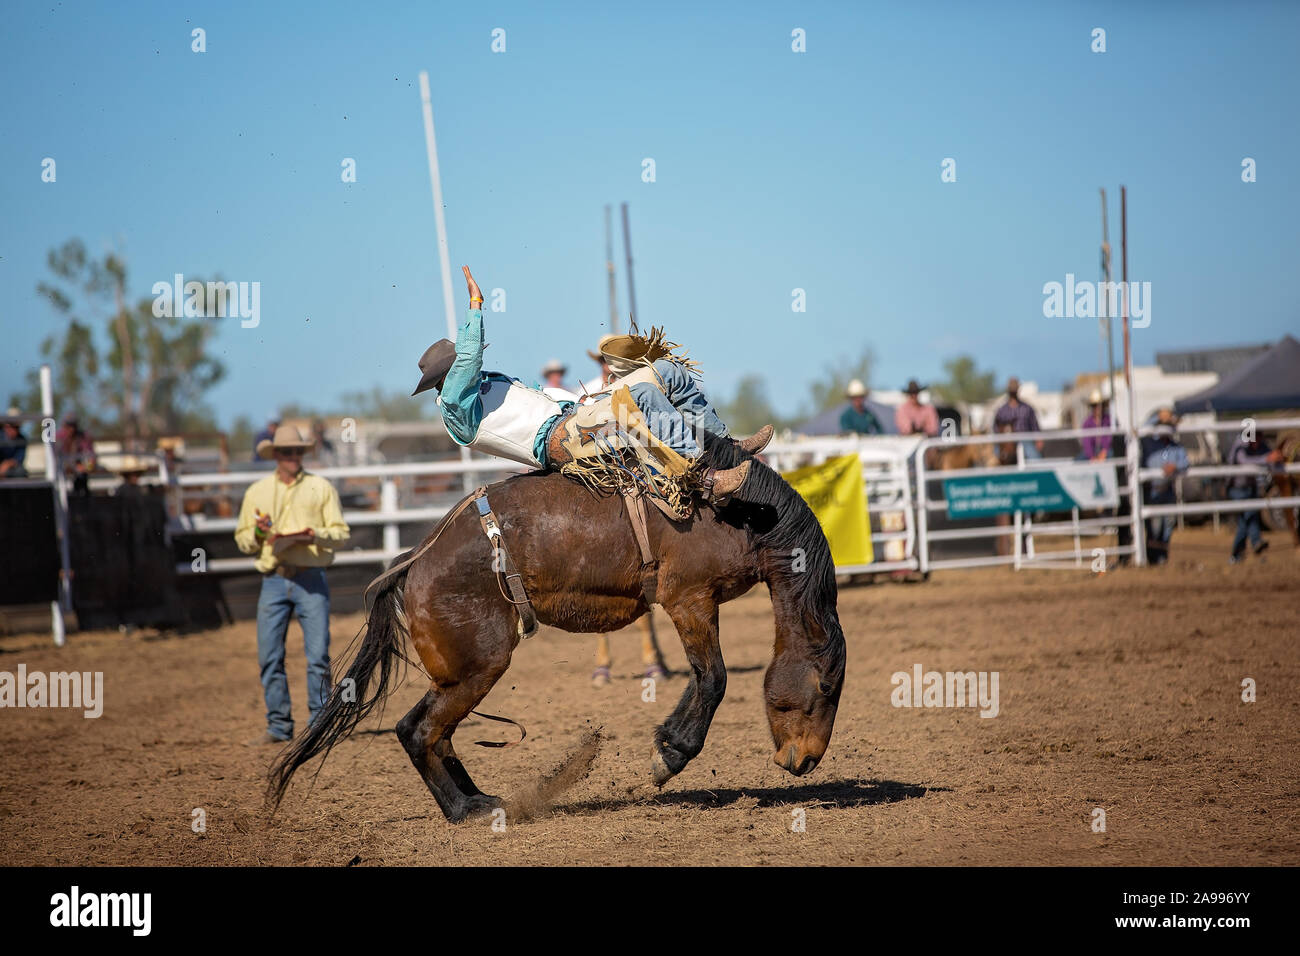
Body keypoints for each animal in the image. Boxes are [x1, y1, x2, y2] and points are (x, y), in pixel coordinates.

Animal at [267, 432, 847, 823]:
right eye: (824, 686)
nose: (805, 761)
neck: (738, 515)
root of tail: (415, 560)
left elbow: (708, 677)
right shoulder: (689, 599)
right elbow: (714, 678)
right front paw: (669, 755)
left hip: (459, 674)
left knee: (436, 733)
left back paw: (480, 798)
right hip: (477, 666)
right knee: (418, 730)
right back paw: (465, 810)